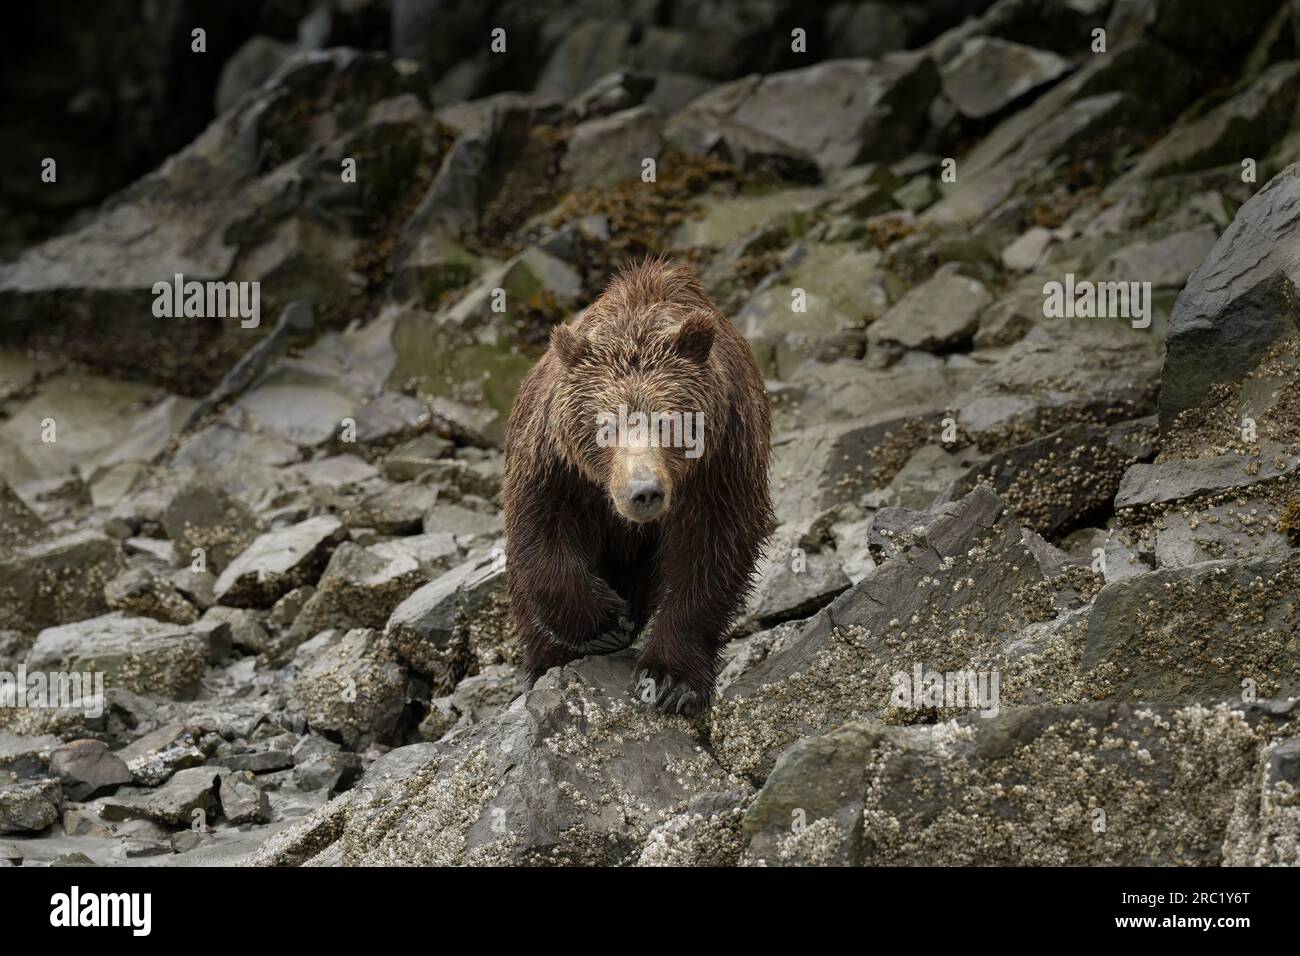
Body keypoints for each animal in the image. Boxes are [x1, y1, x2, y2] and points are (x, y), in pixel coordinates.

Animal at [502, 256, 774, 715]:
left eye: (669, 421)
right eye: (605, 426)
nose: (643, 492)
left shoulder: (722, 461)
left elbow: (710, 552)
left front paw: (670, 680)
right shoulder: (557, 464)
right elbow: (540, 532)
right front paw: (607, 622)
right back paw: (548, 661)